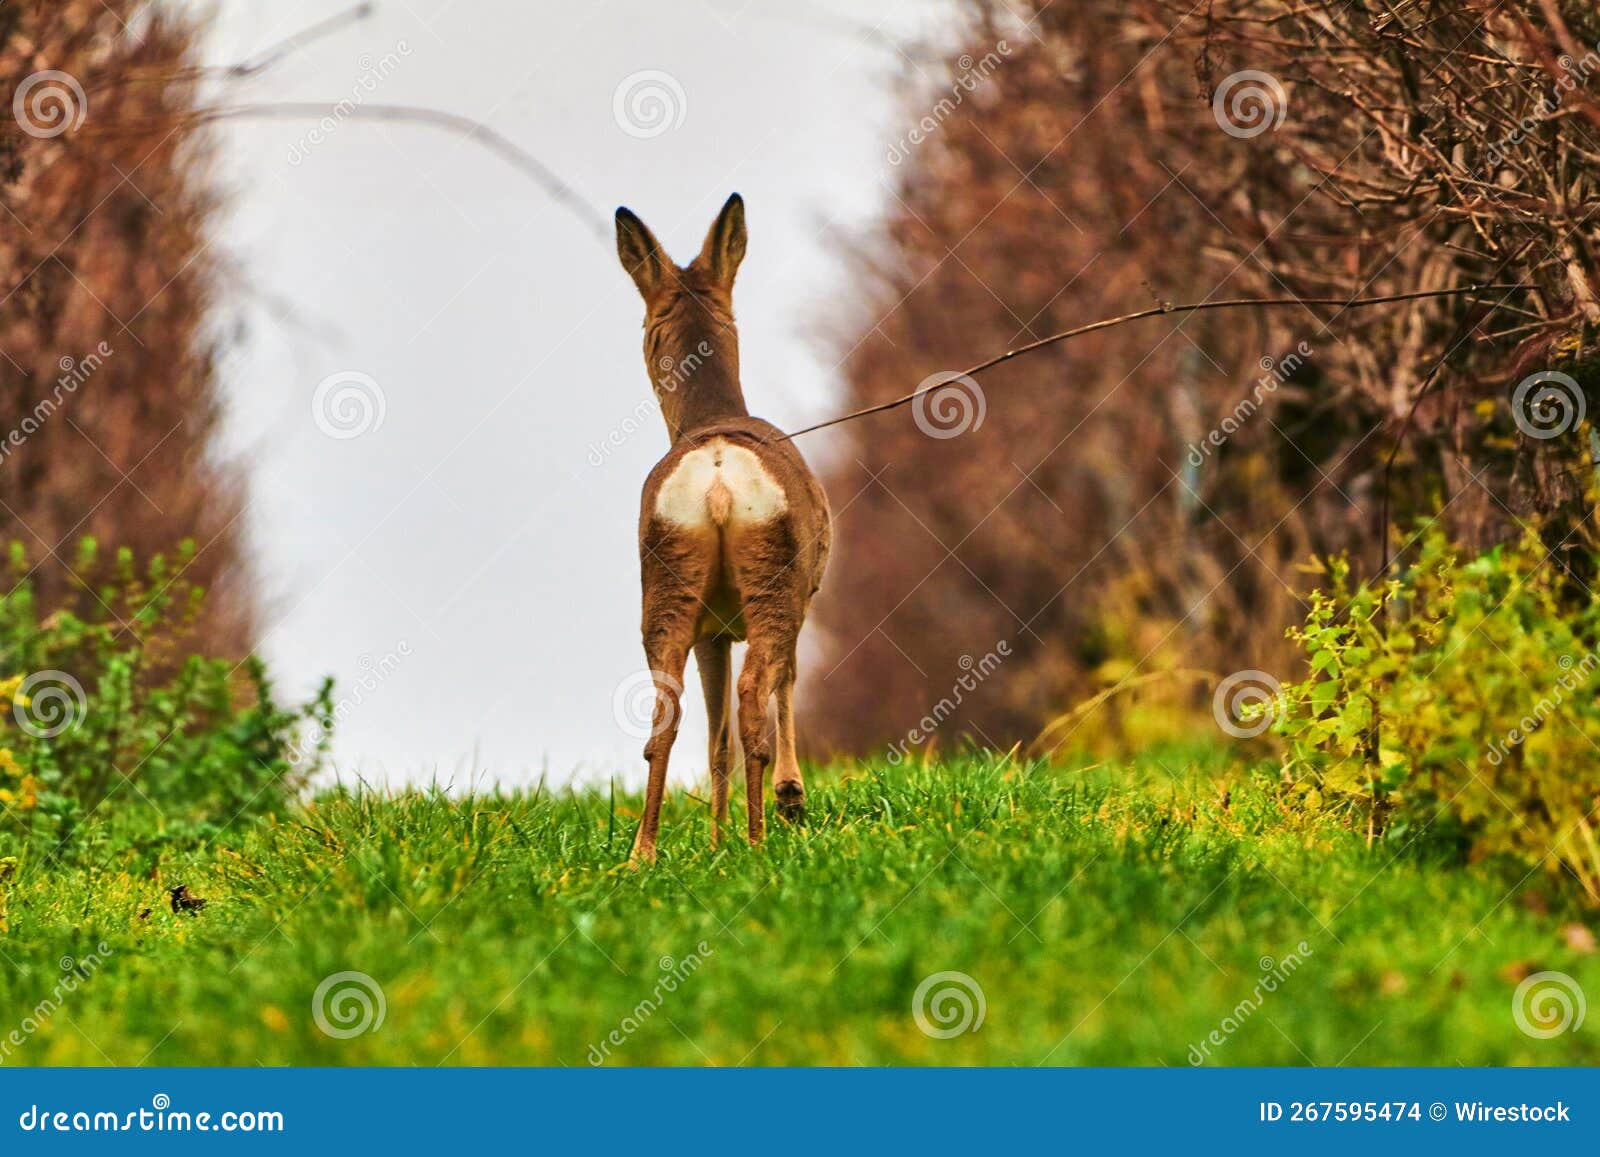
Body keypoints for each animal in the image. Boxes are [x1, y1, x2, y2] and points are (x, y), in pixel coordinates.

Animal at [614, 193, 831, 864]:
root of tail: (716, 480)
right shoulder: (801, 595)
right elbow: (787, 684)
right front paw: (790, 797)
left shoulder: (712, 630)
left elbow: (714, 745)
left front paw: (714, 841)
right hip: (774, 577)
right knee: (755, 696)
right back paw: (761, 841)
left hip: (665, 579)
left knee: (666, 715)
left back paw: (643, 853)